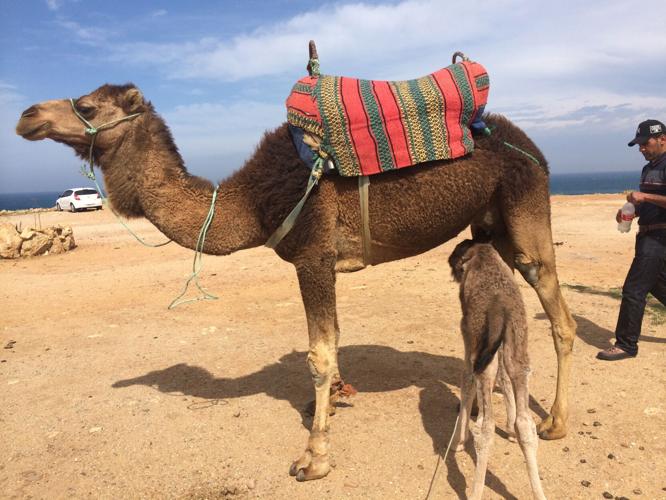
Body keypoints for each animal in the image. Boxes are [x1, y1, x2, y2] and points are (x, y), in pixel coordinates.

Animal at [449, 239, 546, 500]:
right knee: (526, 421)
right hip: (518, 344)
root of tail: (500, 309)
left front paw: (458, 442)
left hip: (482, 344)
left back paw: (474, 493)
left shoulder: (468, 334)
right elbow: (504, 378)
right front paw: (510, 432)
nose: (451, 264)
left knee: (485, 426)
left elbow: (466, 379)